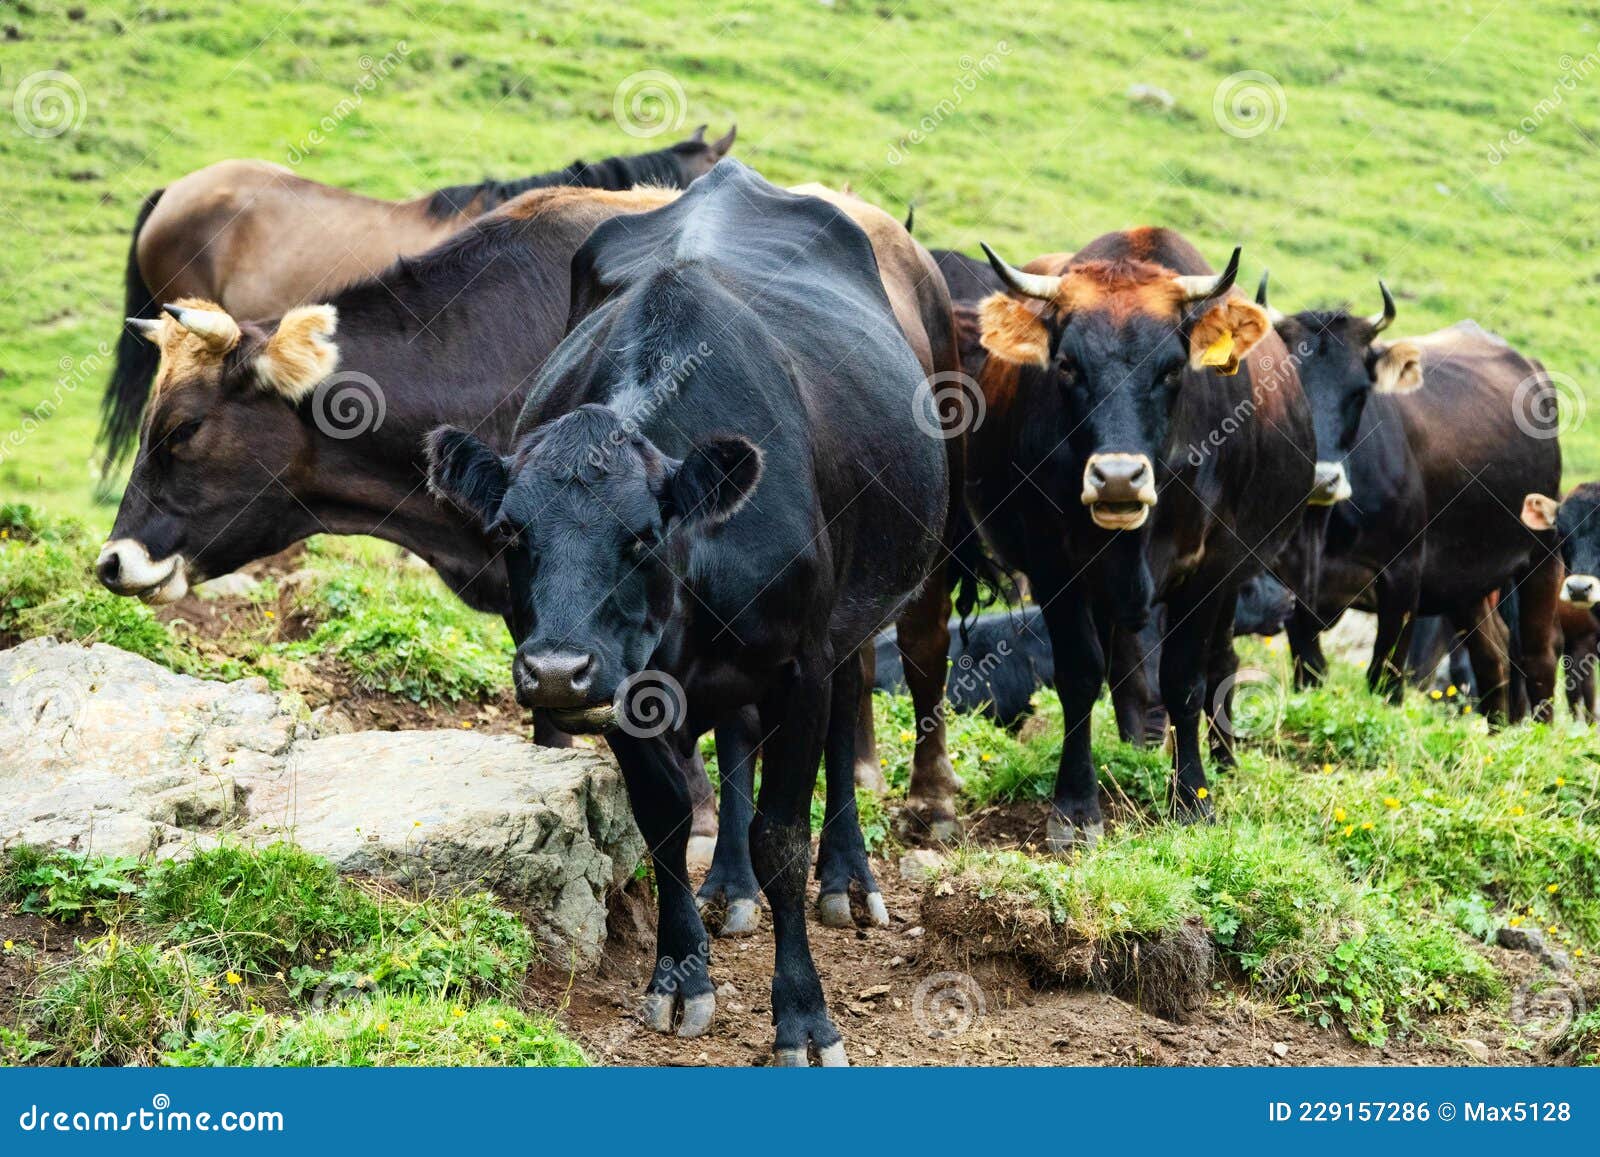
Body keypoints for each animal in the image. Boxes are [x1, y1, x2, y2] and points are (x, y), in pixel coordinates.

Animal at [424, 160, 948, 1064]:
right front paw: (680, 975)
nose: (555, 670)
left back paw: (848, 879)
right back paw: (728, 886)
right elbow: (664, 819)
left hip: (855, 614)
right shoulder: (628, 687)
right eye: (511, 532)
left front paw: (803, 1016)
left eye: (643, 534)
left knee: (848, 708)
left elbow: (783, 834)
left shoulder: (800, 662)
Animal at [969, 229, 1315, 848]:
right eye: (1067, 365)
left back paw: (1224, 760)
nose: (1117, 478)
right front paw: (1075, 808)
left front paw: (1193, 799)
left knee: (1222, 661)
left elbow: (1185, 679)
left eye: (1172, 369)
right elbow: (1080, 673)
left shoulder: (1207, 571)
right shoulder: (1054, 567)